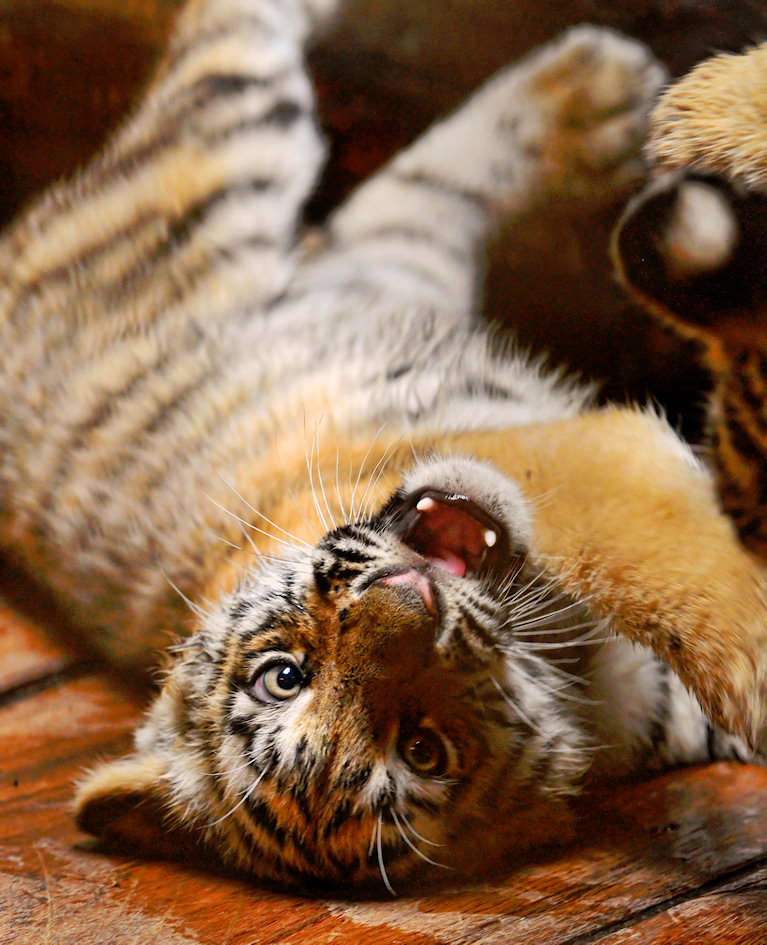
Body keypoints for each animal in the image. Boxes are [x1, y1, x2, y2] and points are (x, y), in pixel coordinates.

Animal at [1, 0, 765, 894]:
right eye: (422, 749)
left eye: (279, 673)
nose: (413, 598)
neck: (575, 679)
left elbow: (651, 555)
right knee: (400, 185)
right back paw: (597, 90)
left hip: (241, 170)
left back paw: (605, 86)